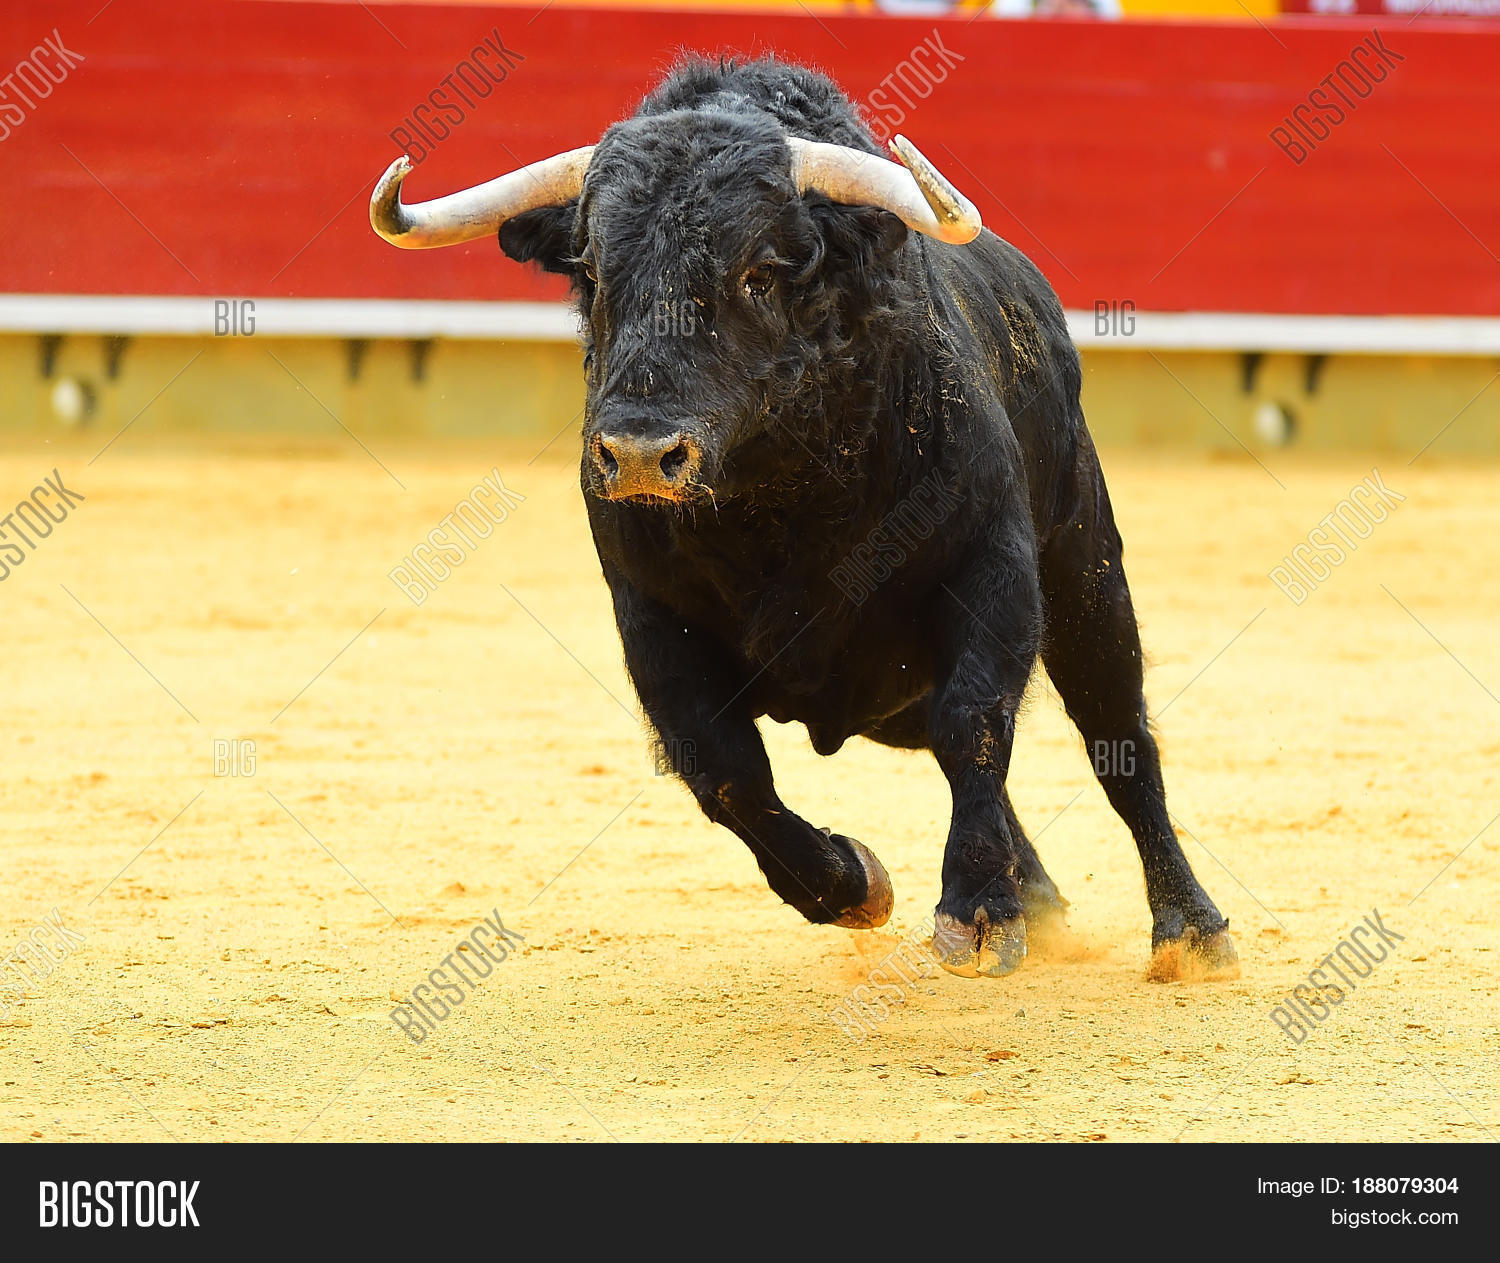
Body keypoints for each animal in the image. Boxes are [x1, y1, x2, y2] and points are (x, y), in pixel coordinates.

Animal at [371, 57, 1238, 981]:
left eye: (757, 274)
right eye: (595, 275)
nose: (639, 453)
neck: (778, 502)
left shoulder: (991, 567)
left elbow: (975, 722)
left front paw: (977, 911)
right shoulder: (651, 620)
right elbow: (726, 773)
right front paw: (856, 883)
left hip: (1085, 568)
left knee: (1121, 741)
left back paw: (1190, 927)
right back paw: (1040, 895)